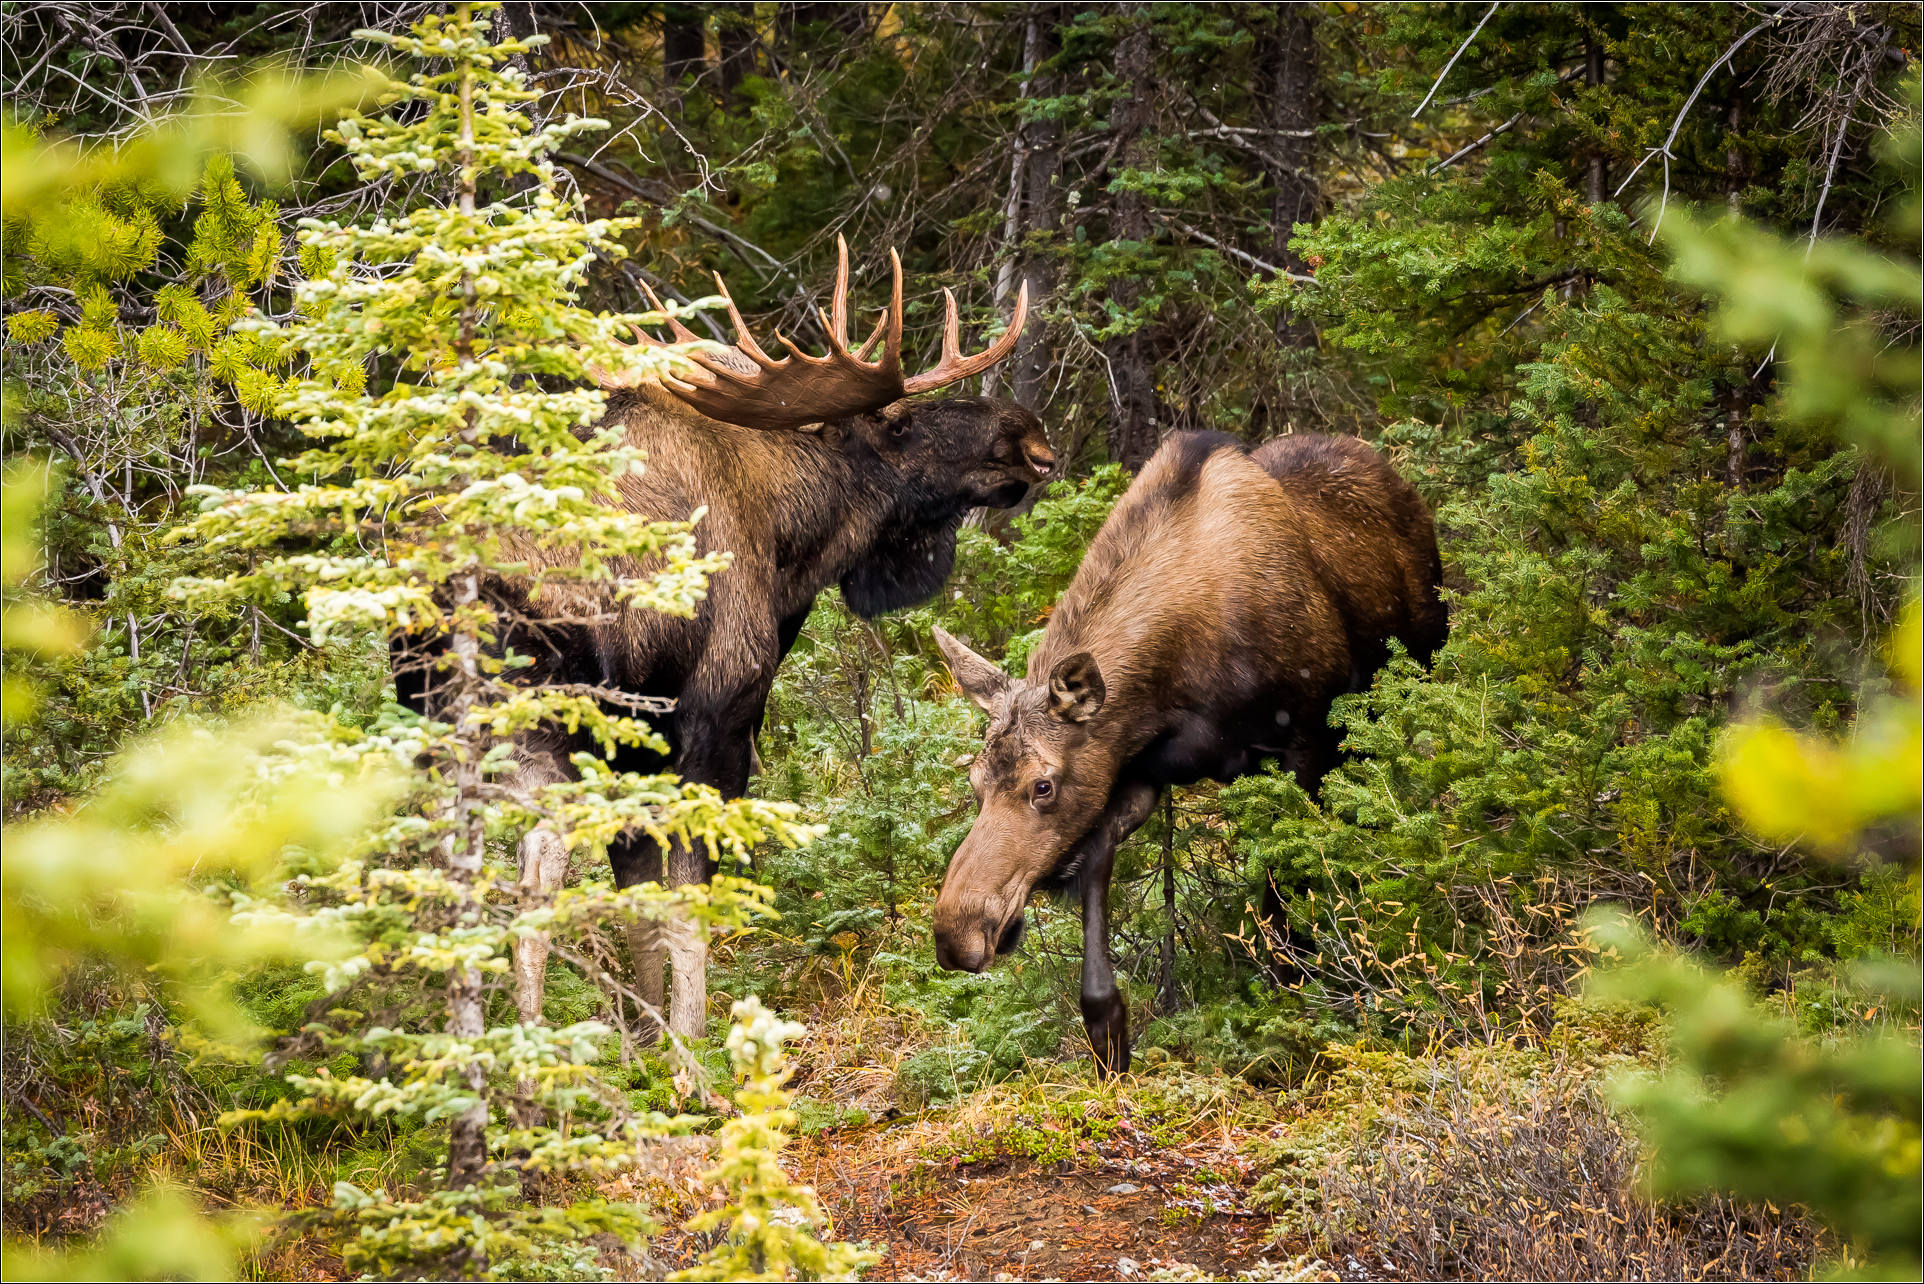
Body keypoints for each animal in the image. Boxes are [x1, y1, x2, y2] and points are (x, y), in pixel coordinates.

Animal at [400, 239, 1052, 1039]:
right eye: (897, 422)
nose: (1030, 439)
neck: (789, 545)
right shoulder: (719, 717)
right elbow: (688, 901)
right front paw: (691, 1041)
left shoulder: (639, 750)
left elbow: (639, 899)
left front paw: (645, 1034)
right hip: (540, 729)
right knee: (535, 876)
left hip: (435, 732)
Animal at [930, 430, 1445, 1074]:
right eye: (975, 783)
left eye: (1042, 785)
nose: (957, 932)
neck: (1172, 682)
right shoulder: (1136, 769)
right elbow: (1095, 875)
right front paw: (1108, 1029)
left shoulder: (1302, 742)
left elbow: (1282, 903)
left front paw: (1299, 1006)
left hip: (1416, 668)